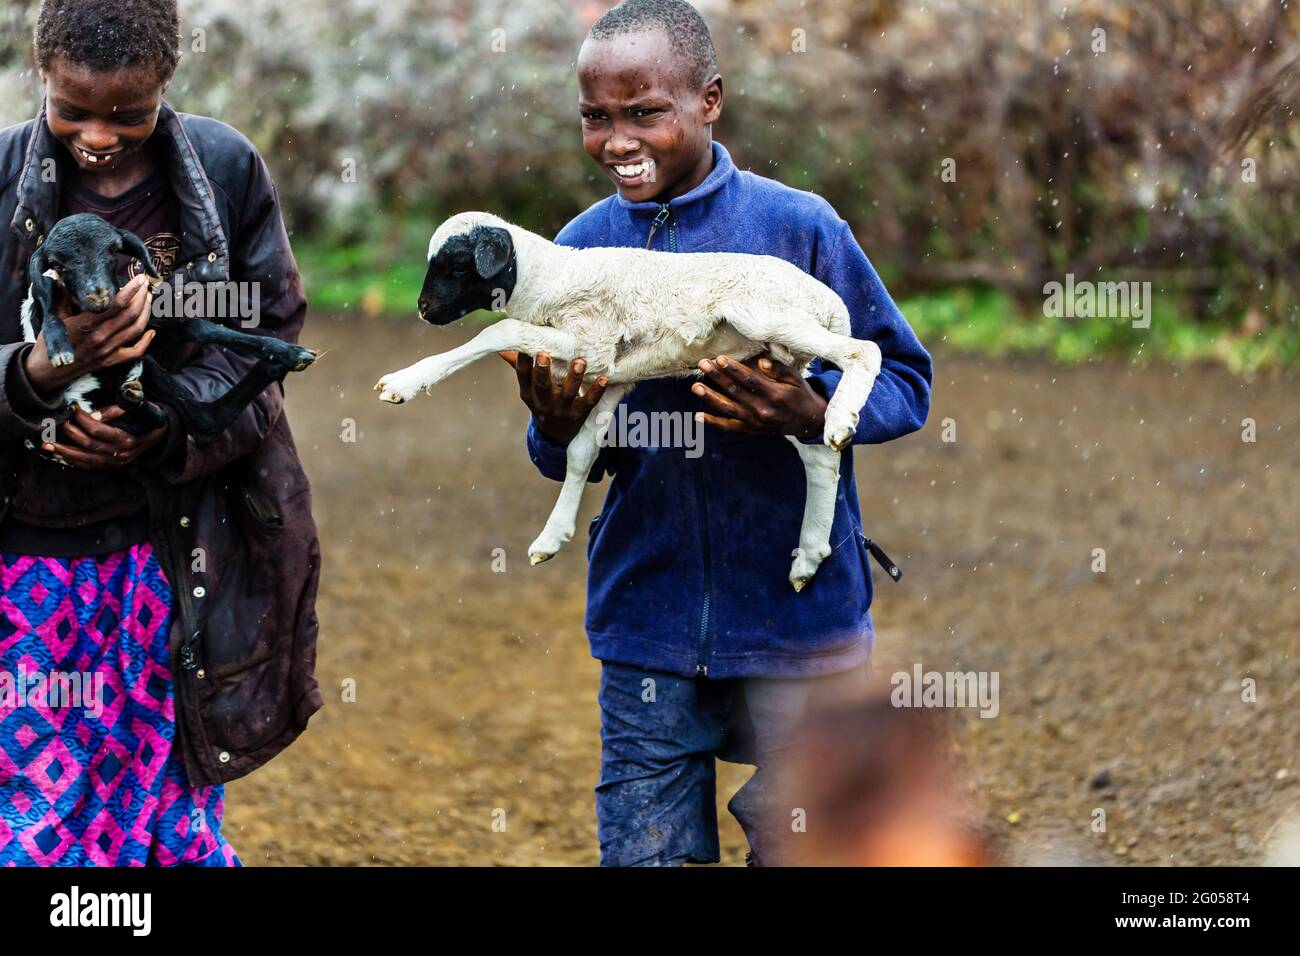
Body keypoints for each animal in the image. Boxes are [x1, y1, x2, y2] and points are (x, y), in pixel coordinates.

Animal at [22, 212, 317, 446]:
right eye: (57, 264)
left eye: (114, 250)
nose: (98, 294)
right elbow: (47, 303)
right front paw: (58, 344)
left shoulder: (144, 317)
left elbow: (201, 328)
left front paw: (289, 352)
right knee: (191, 421)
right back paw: (132, 401)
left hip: (148, 368)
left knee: (203, 421)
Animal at [374, 211, 882, 590]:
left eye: (456, 267)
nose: (423, 310)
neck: (547, 281)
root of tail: (831, 301)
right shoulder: (611, 375)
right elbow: (581, 453)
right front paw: (551, 537)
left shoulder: (591, 341)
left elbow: (496, 331)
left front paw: (403, 382)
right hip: (772, 372)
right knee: (819, 456)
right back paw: (808, 555)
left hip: (765, 317)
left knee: (865, 351)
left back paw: (841, 418)